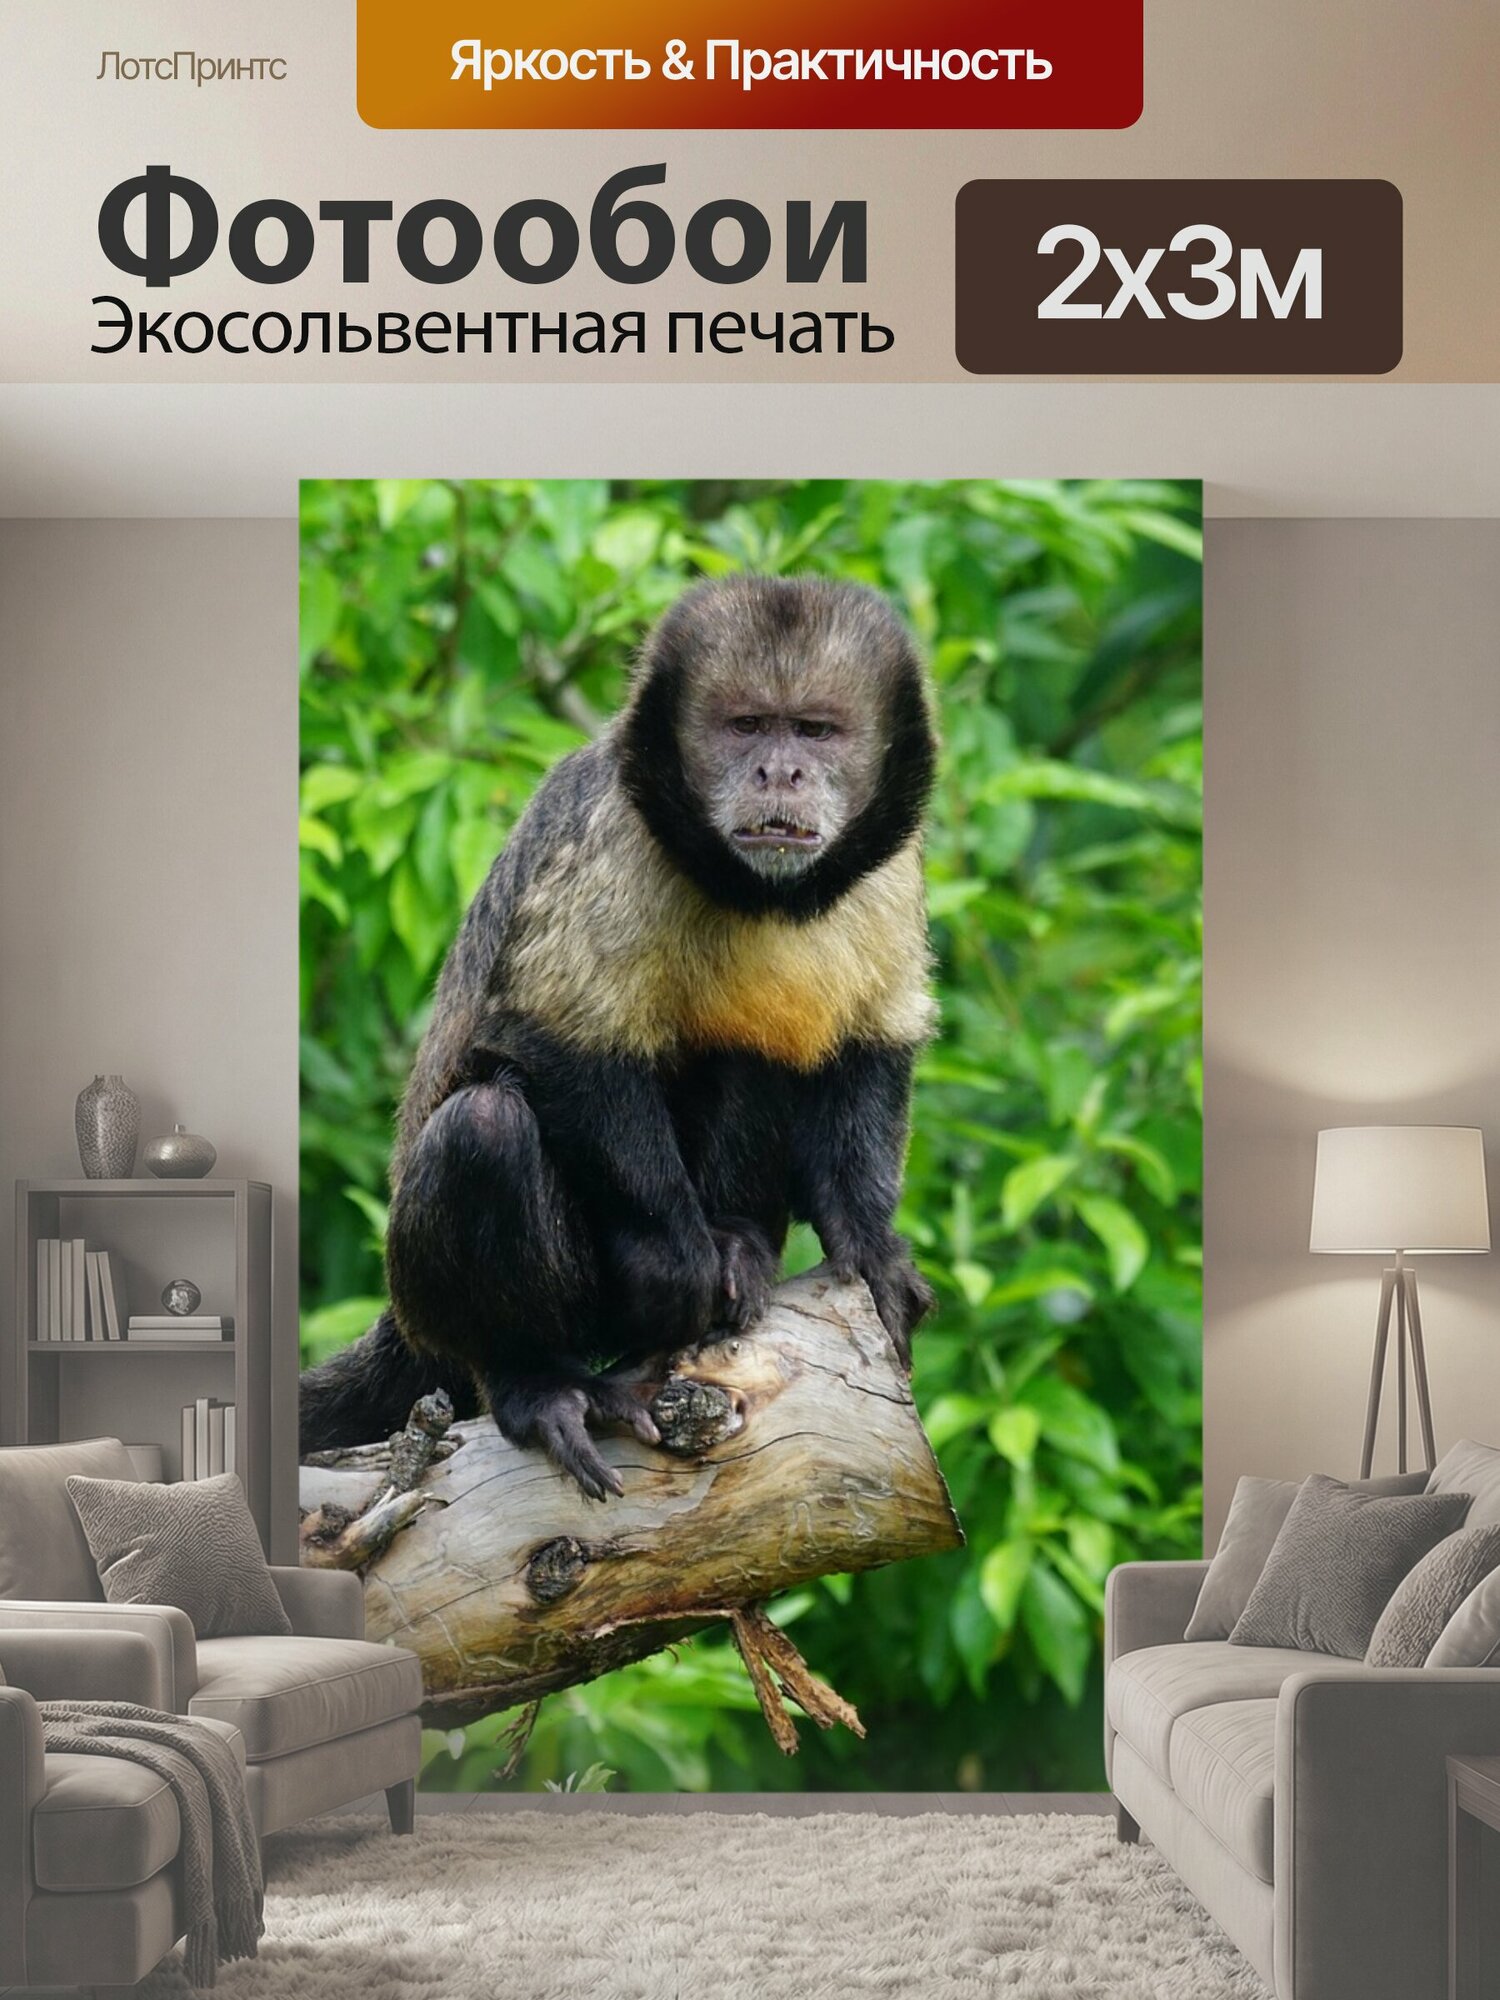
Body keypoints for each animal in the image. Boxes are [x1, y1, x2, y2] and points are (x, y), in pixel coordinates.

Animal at [299, 574, 938, 1501]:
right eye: (748, 725)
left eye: (815, 730)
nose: (779, 771)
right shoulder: (618, 831)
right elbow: (554, 1036)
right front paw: (675, 1258)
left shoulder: (894, 863)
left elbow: (868, 1045)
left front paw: (868, 1244)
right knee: (483, 1129)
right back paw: (536, 1381)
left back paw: (740, 1241)